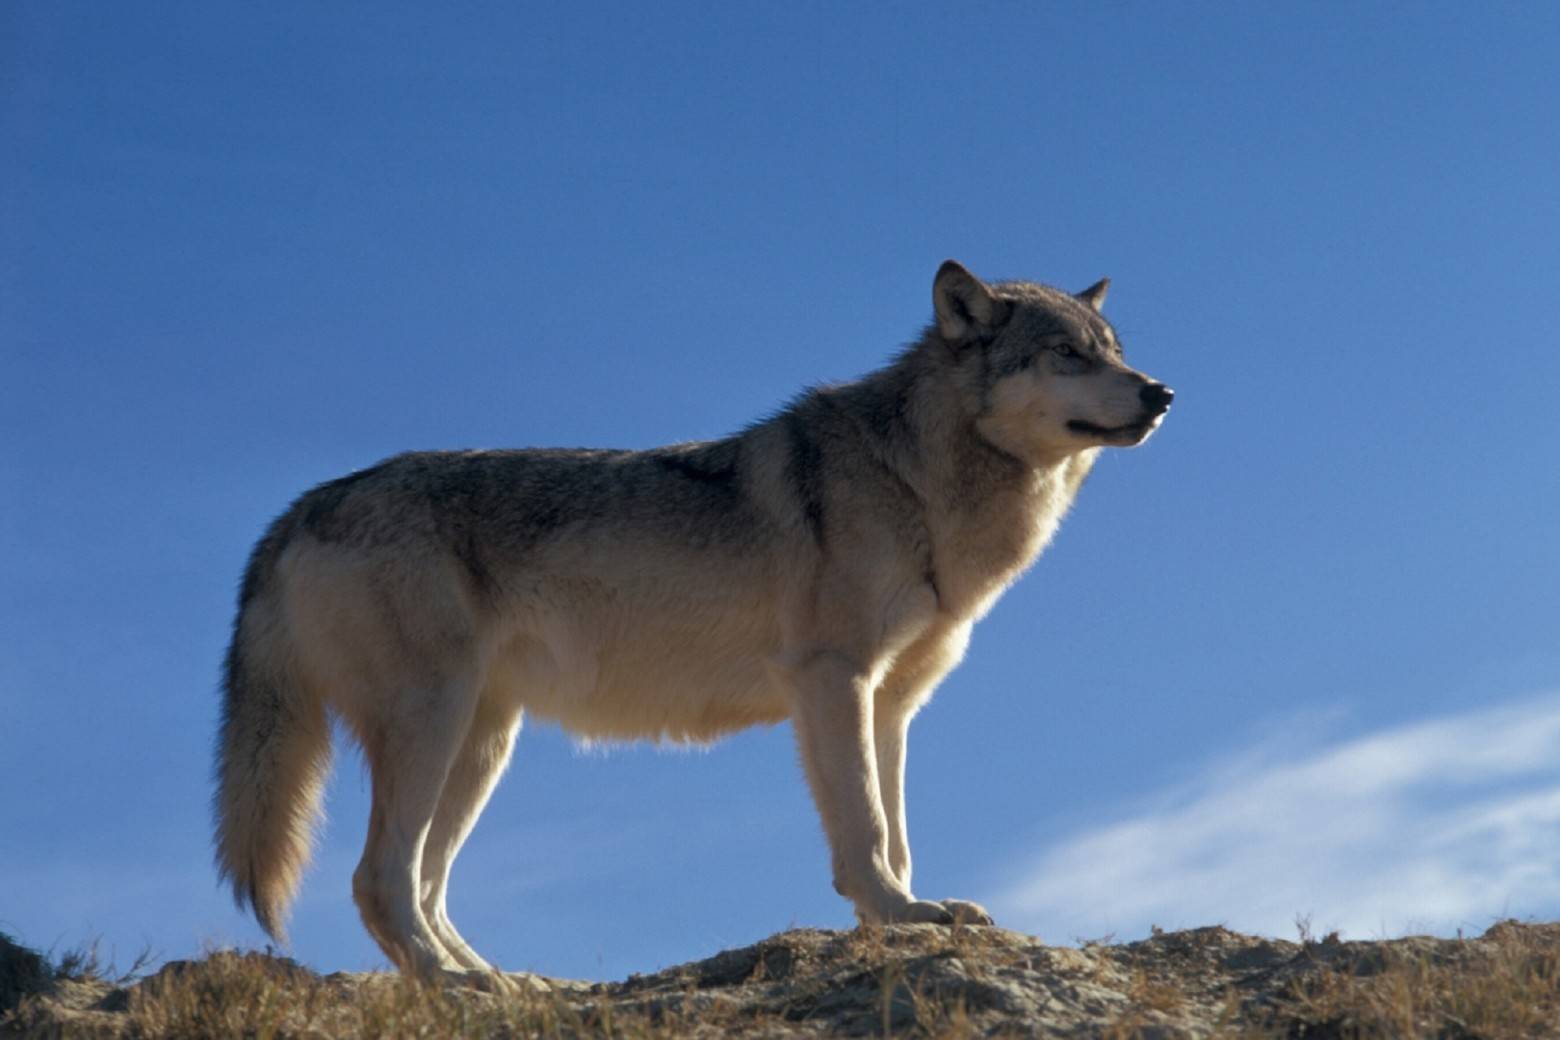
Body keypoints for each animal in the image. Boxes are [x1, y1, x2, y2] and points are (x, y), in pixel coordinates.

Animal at [214, 260, 1173, 984]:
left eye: (1114, 352)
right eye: (1066, 354)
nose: (1162, 393)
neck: (916, 480)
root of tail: (298, 510)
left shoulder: (892, 704)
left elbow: (896, 832)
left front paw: (906, 915)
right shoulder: (833, 680)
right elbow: (865, 830)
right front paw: (898, 916)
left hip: (483, 746)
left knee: (425, 884)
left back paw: (500, 980)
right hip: (435, 726)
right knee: (380, 880)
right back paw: (453, 985)